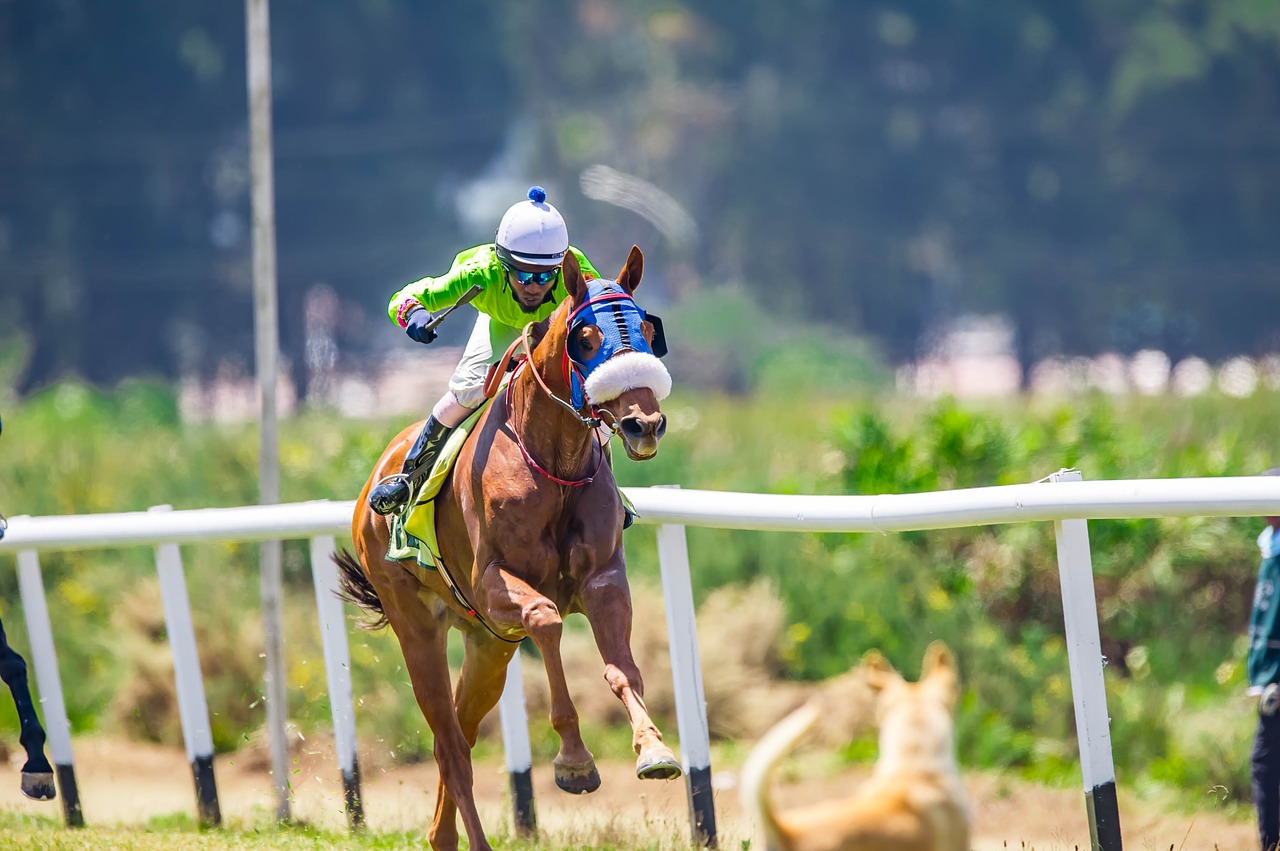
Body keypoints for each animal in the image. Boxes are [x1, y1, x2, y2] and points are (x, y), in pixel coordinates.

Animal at [336, 245, 679, 851]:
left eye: (644, 329)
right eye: (586, 337)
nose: (645, 424)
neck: (553, 460)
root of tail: (372, 481)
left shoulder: (603, 580)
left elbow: (622, 668)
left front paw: (654, 750)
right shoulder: (496, 586)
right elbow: (546, 619)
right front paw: (574, 761)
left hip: (487, 645)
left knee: (460, 734)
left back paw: (442, 836)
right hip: (417, 626)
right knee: (450, 745)